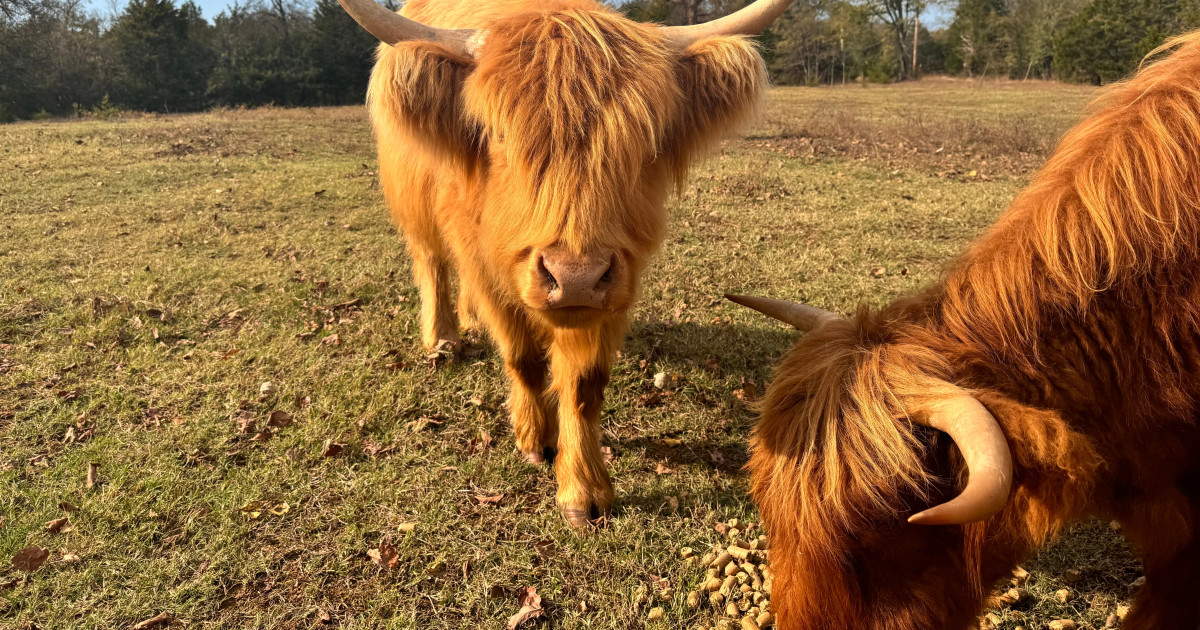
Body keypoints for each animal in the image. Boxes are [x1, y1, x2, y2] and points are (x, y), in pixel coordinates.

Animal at [335, 0, 794, 527]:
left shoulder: (615, 284)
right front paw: (535, 439)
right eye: (497, 135)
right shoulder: (485, 265)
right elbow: (523, 358)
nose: (573, 279)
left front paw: (583, 490)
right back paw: (444, 338)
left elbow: (583, 384)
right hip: (415, 204)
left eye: (647, 142)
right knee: (431, 261)